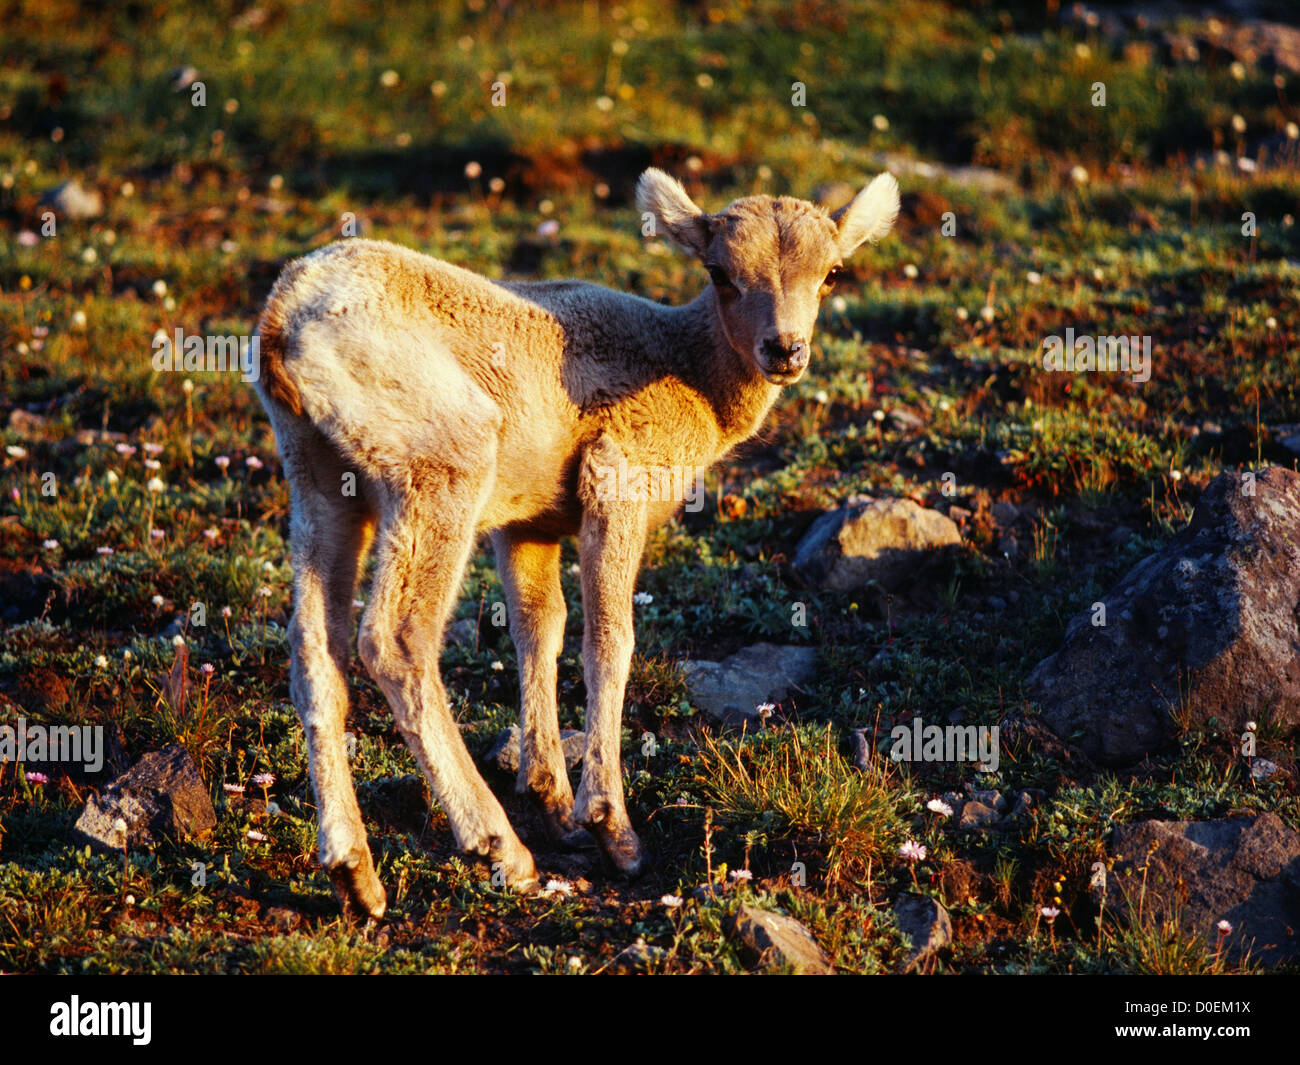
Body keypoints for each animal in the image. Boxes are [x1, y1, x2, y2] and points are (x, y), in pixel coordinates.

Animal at [252, 168, 900, 918]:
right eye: (719, 272)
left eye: (832, 272)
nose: (784, 349)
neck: (694, 382)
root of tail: (281, 321)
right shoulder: (616, 476)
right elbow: (609, 641)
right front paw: (610, 826)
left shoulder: (527, 521)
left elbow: (541, 627)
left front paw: (551, 798)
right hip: (442, 458)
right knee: (394, 638)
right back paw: (498, 848)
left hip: (317, 473)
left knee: (312, 650)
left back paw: (354, 874)